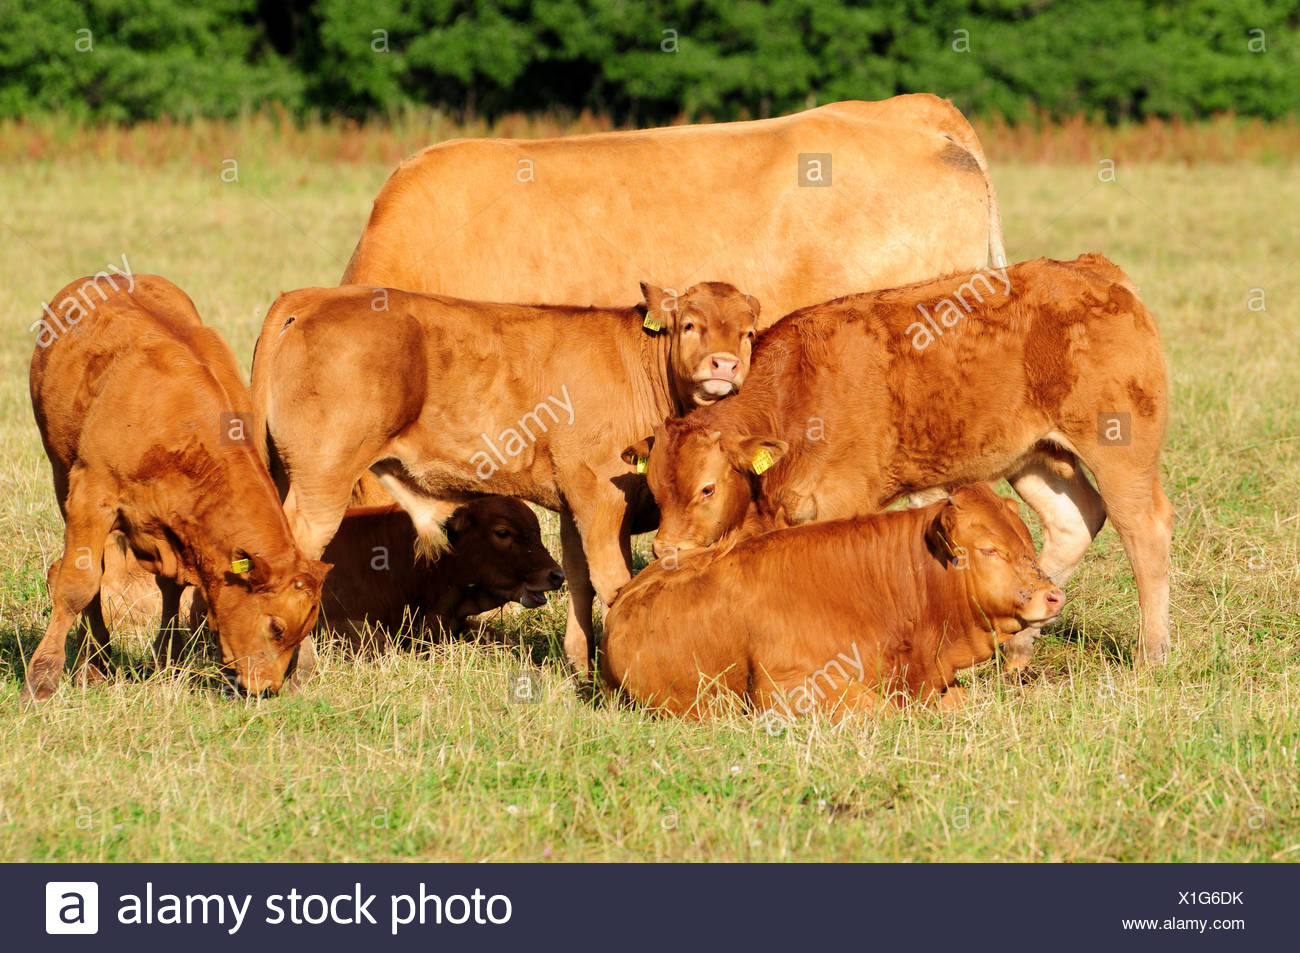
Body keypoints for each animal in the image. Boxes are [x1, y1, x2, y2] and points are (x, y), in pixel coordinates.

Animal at [27, 274, 329, 701]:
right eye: (276, 626)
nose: (267, 688)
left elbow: (171, 588)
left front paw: (165, 658)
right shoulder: (92, 494)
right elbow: (77, 583)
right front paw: (44, 677)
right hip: (59, 470)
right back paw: (95, 660)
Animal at [630, 254, 1173, 669]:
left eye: (707, 487)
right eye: (654, 490)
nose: (666, 552)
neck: (795, 391)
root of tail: (1092, 271)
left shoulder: (843, 502)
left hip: (1119, 452)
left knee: (1144, 530)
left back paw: (1151, 655)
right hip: (1036, 457)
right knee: (1073, 520)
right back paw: (1019, 646)